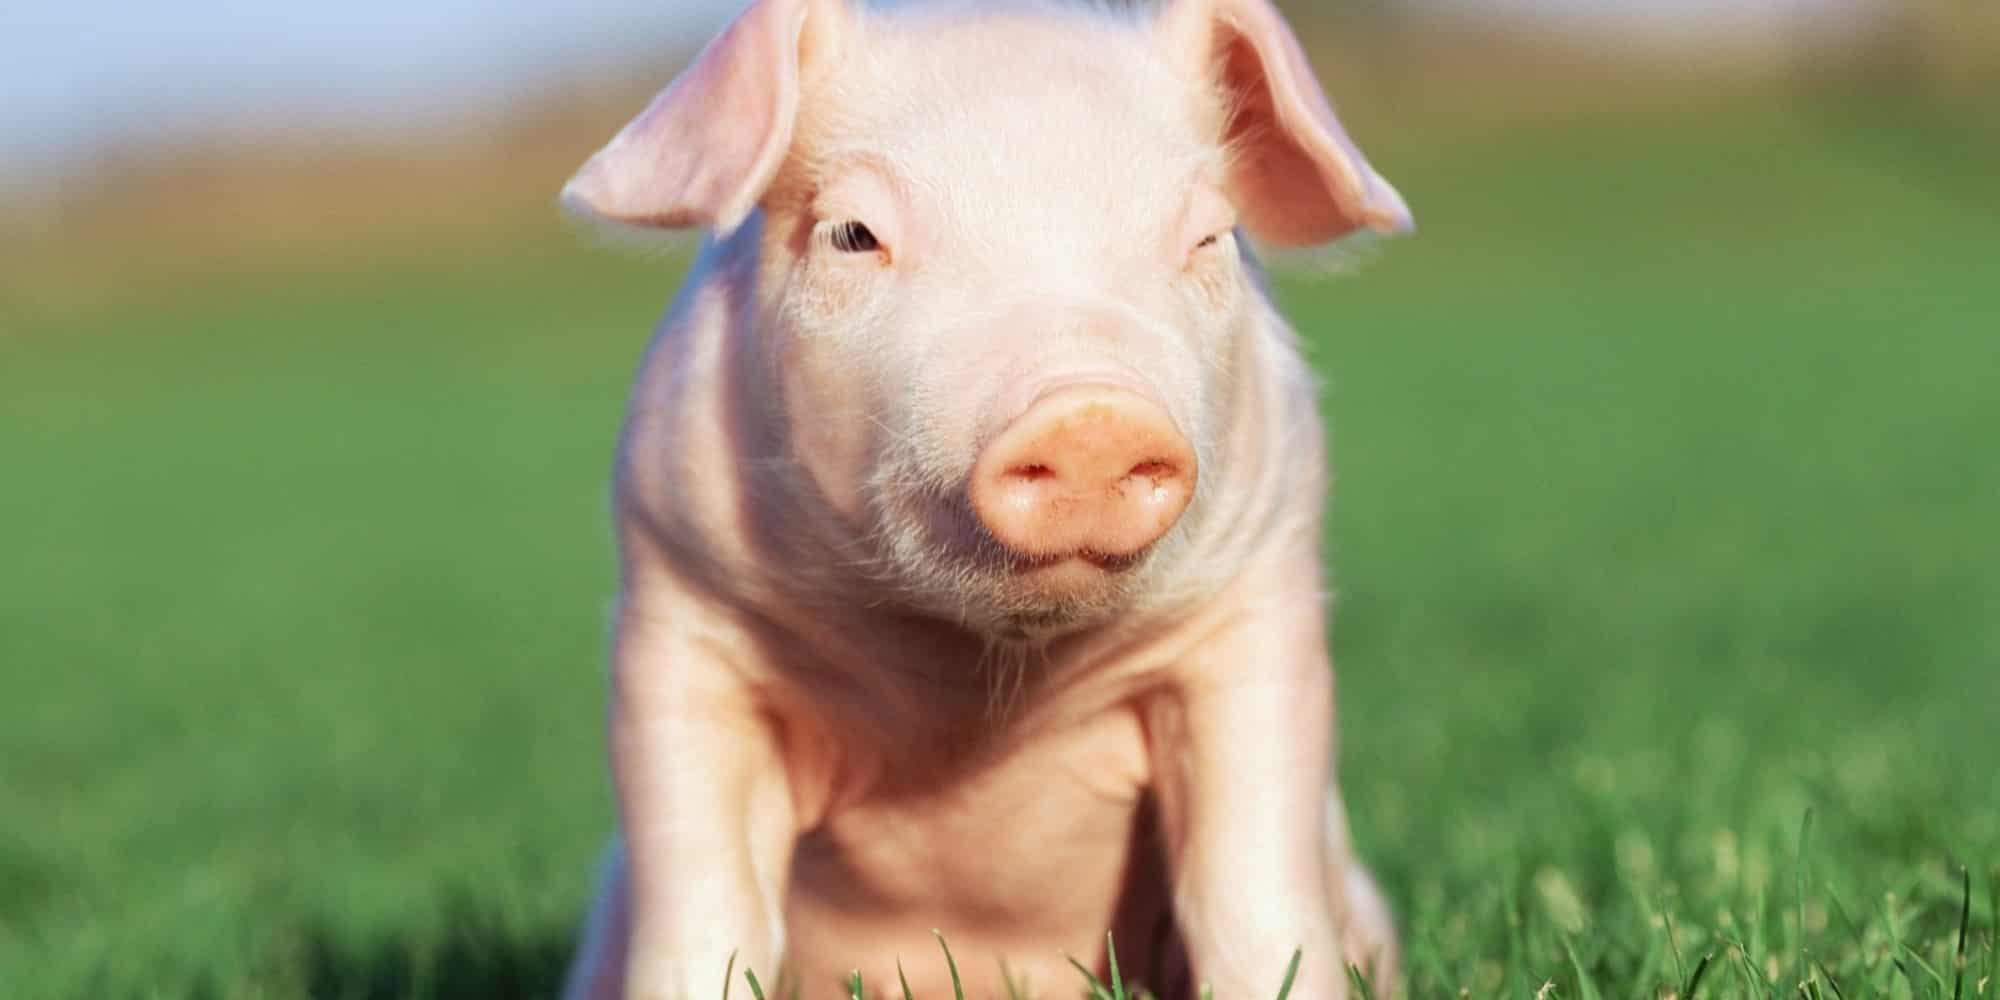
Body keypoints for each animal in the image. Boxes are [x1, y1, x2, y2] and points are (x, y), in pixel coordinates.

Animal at [557, 0, 1413, 997]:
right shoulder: (678, 620)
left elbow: (1251, 886)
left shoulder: (1257, 610)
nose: (1090, 416)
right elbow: (702, 905)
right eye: (854, 234)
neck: (976, 700)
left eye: (1209, 239)